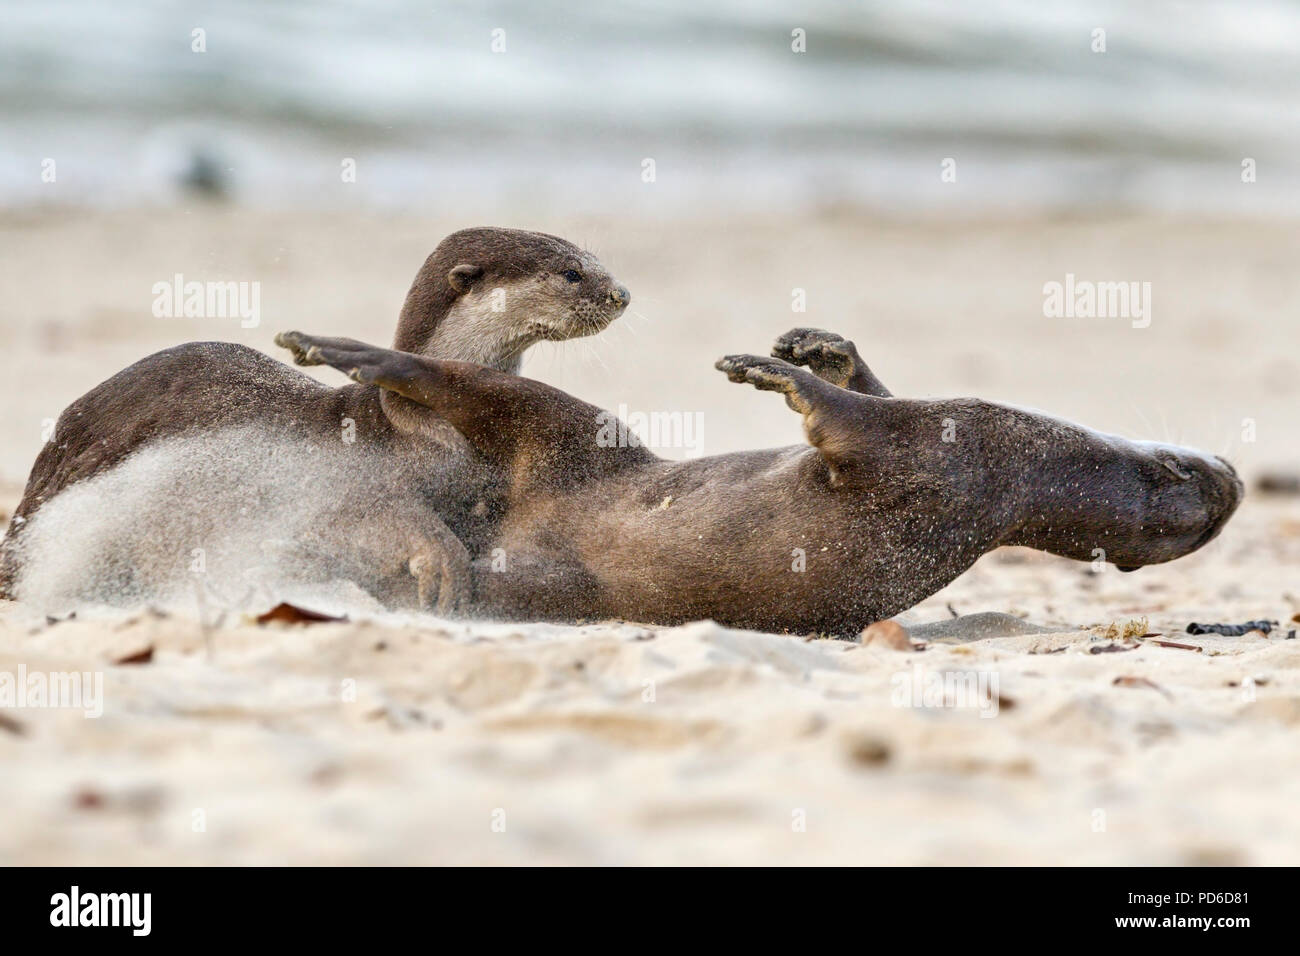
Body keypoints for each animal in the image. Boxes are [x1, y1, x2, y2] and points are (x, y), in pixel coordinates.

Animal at [0, 228, 630, 612]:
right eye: (573, 274)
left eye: (595, 263)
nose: (621, 293)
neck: (428, 430)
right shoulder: (343, 481)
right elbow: (385, 519)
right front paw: (444, 570)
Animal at [271, 326, 1243, 635]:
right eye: (1209, 486)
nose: (1231, 473)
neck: (1015, 477)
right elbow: (869, 392)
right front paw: (823, 350)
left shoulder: (947, 450)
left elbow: (848, 423)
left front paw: (779, 376)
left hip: (567, 431)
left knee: (444, 380)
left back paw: (332, 348)